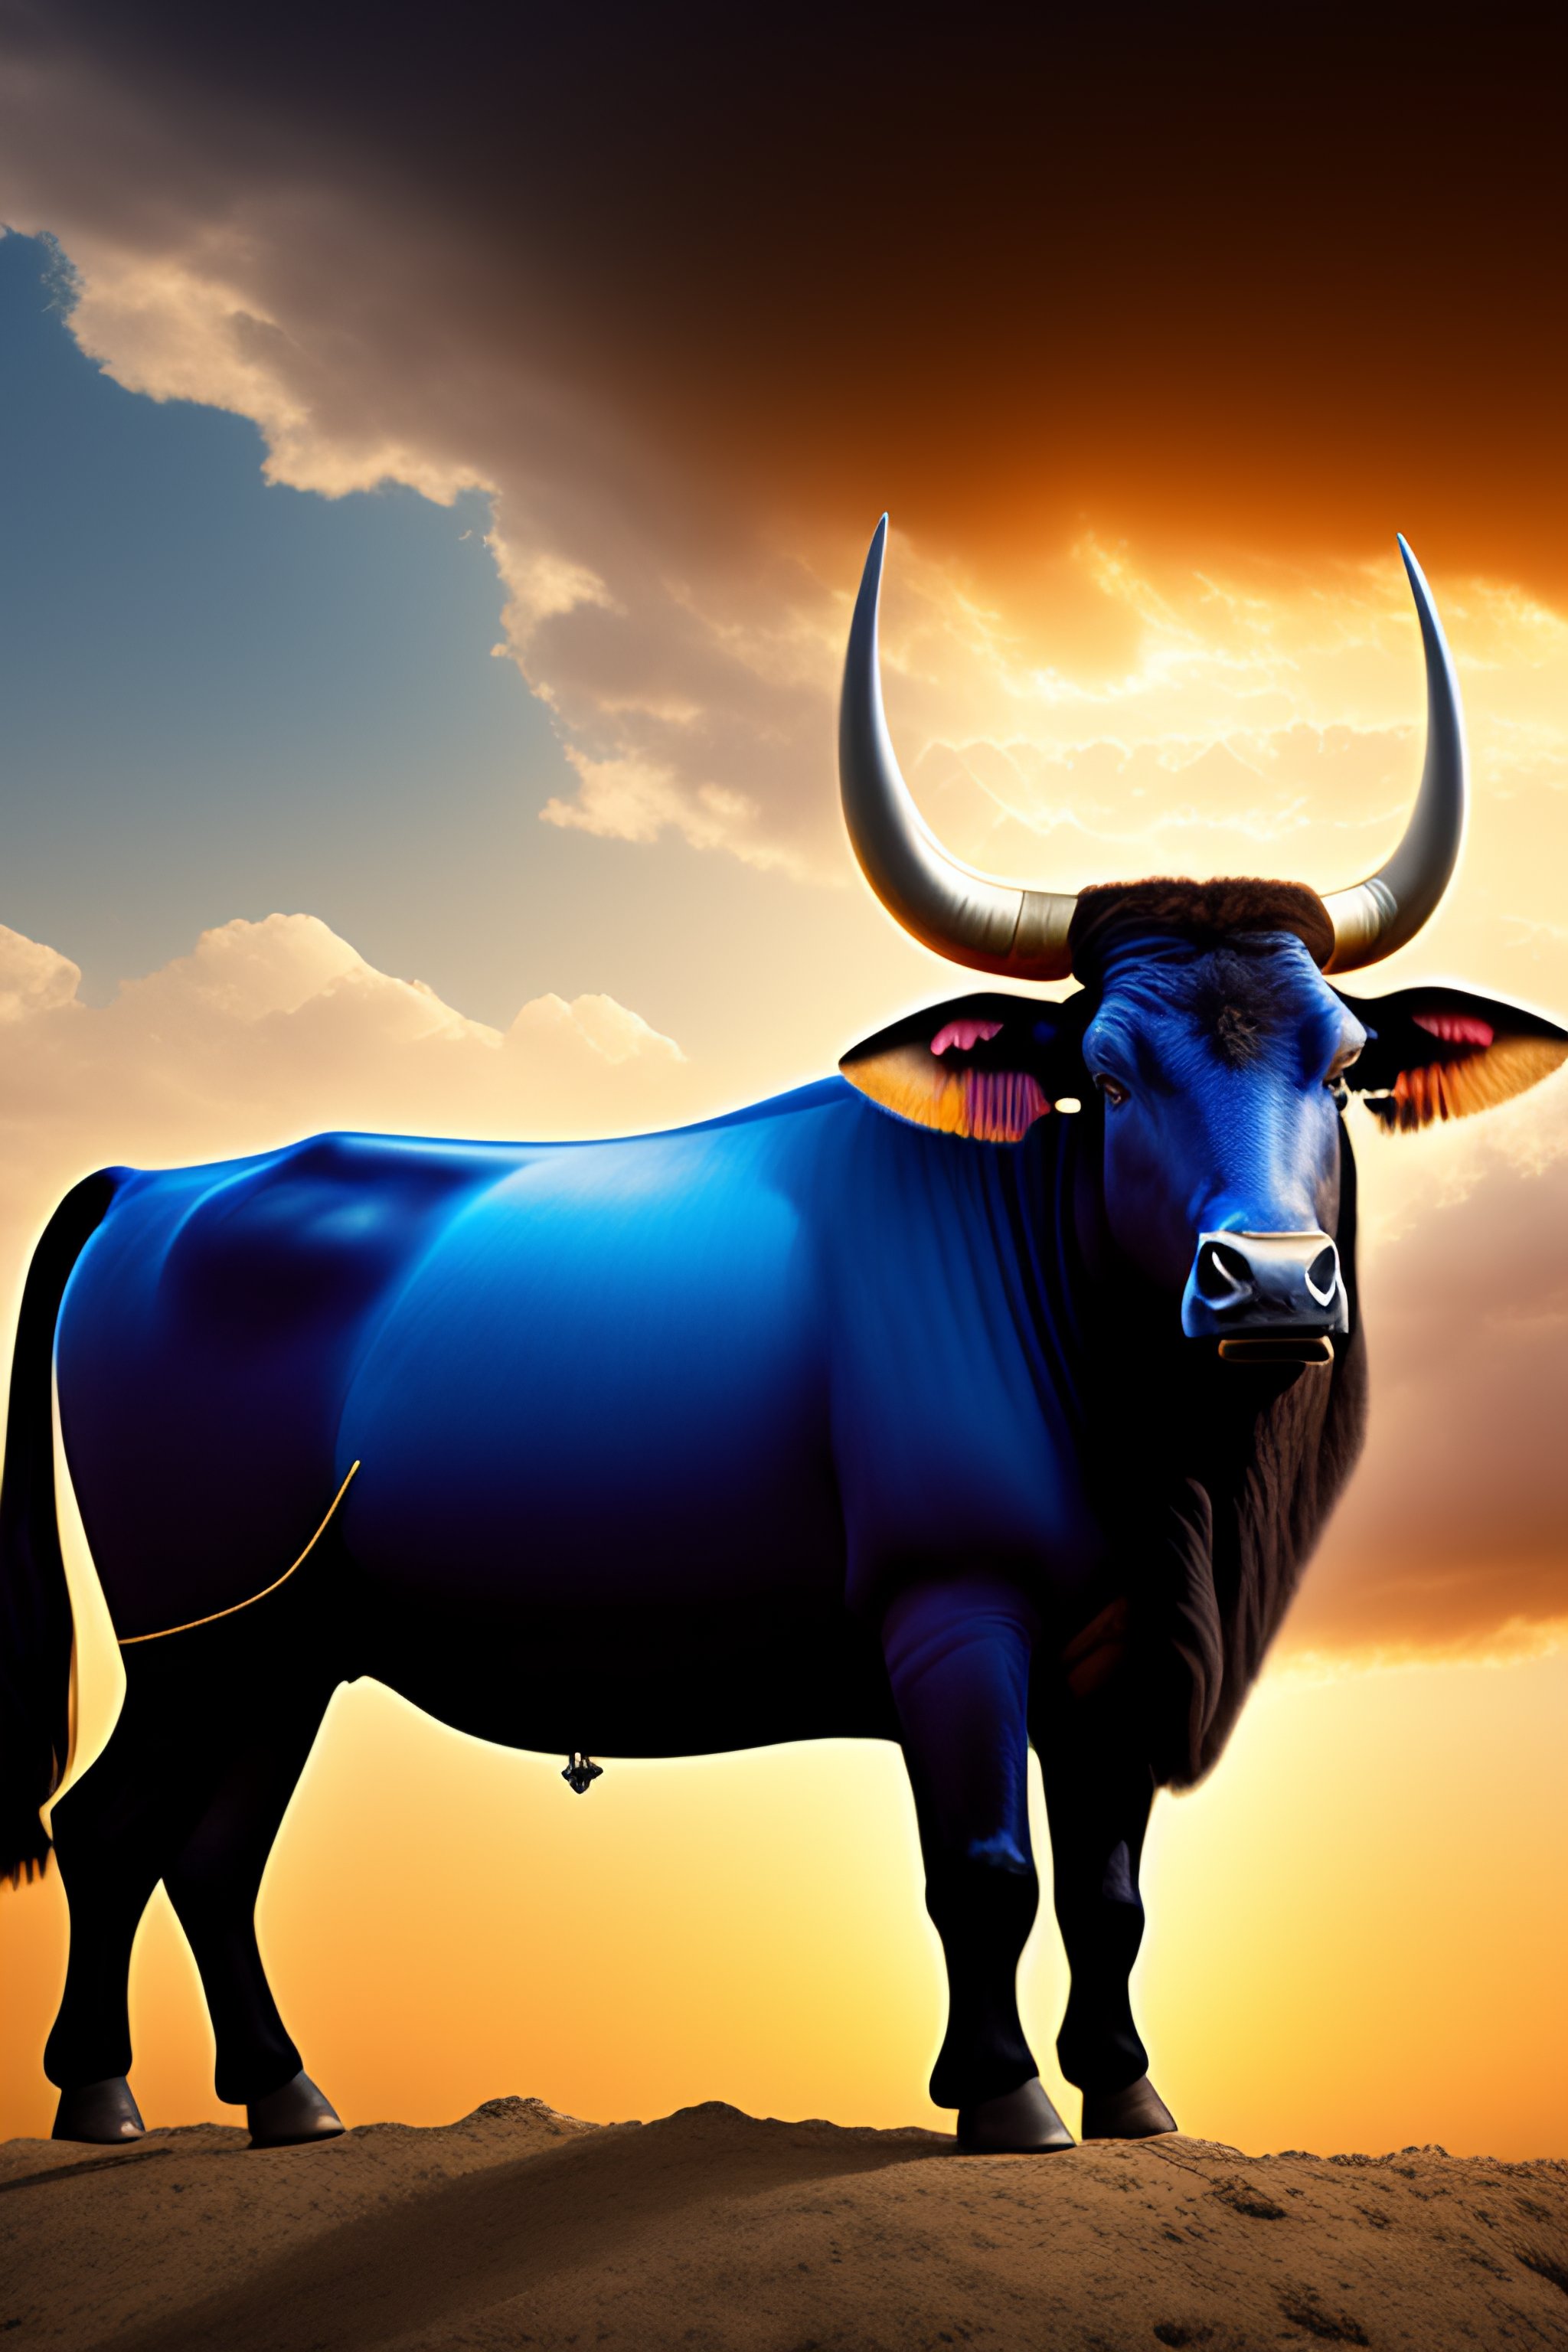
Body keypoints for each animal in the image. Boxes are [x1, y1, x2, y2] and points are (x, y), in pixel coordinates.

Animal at [2, 522, 1564, 2156]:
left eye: (1341, 1063)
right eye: (1108, 1074)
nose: (1266, 1282)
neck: (1168, 1473)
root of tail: (160, 1183)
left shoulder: (1113, 1651)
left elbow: (1110, 1889)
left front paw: (1129, 2090)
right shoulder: (952, 1613)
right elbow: (986, 1867)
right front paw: (1002, 2092)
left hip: (285, 1651)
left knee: (211, 1850)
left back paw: (286, 2092)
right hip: (197, 1634)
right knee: (107, 1829)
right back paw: (103, 2092)